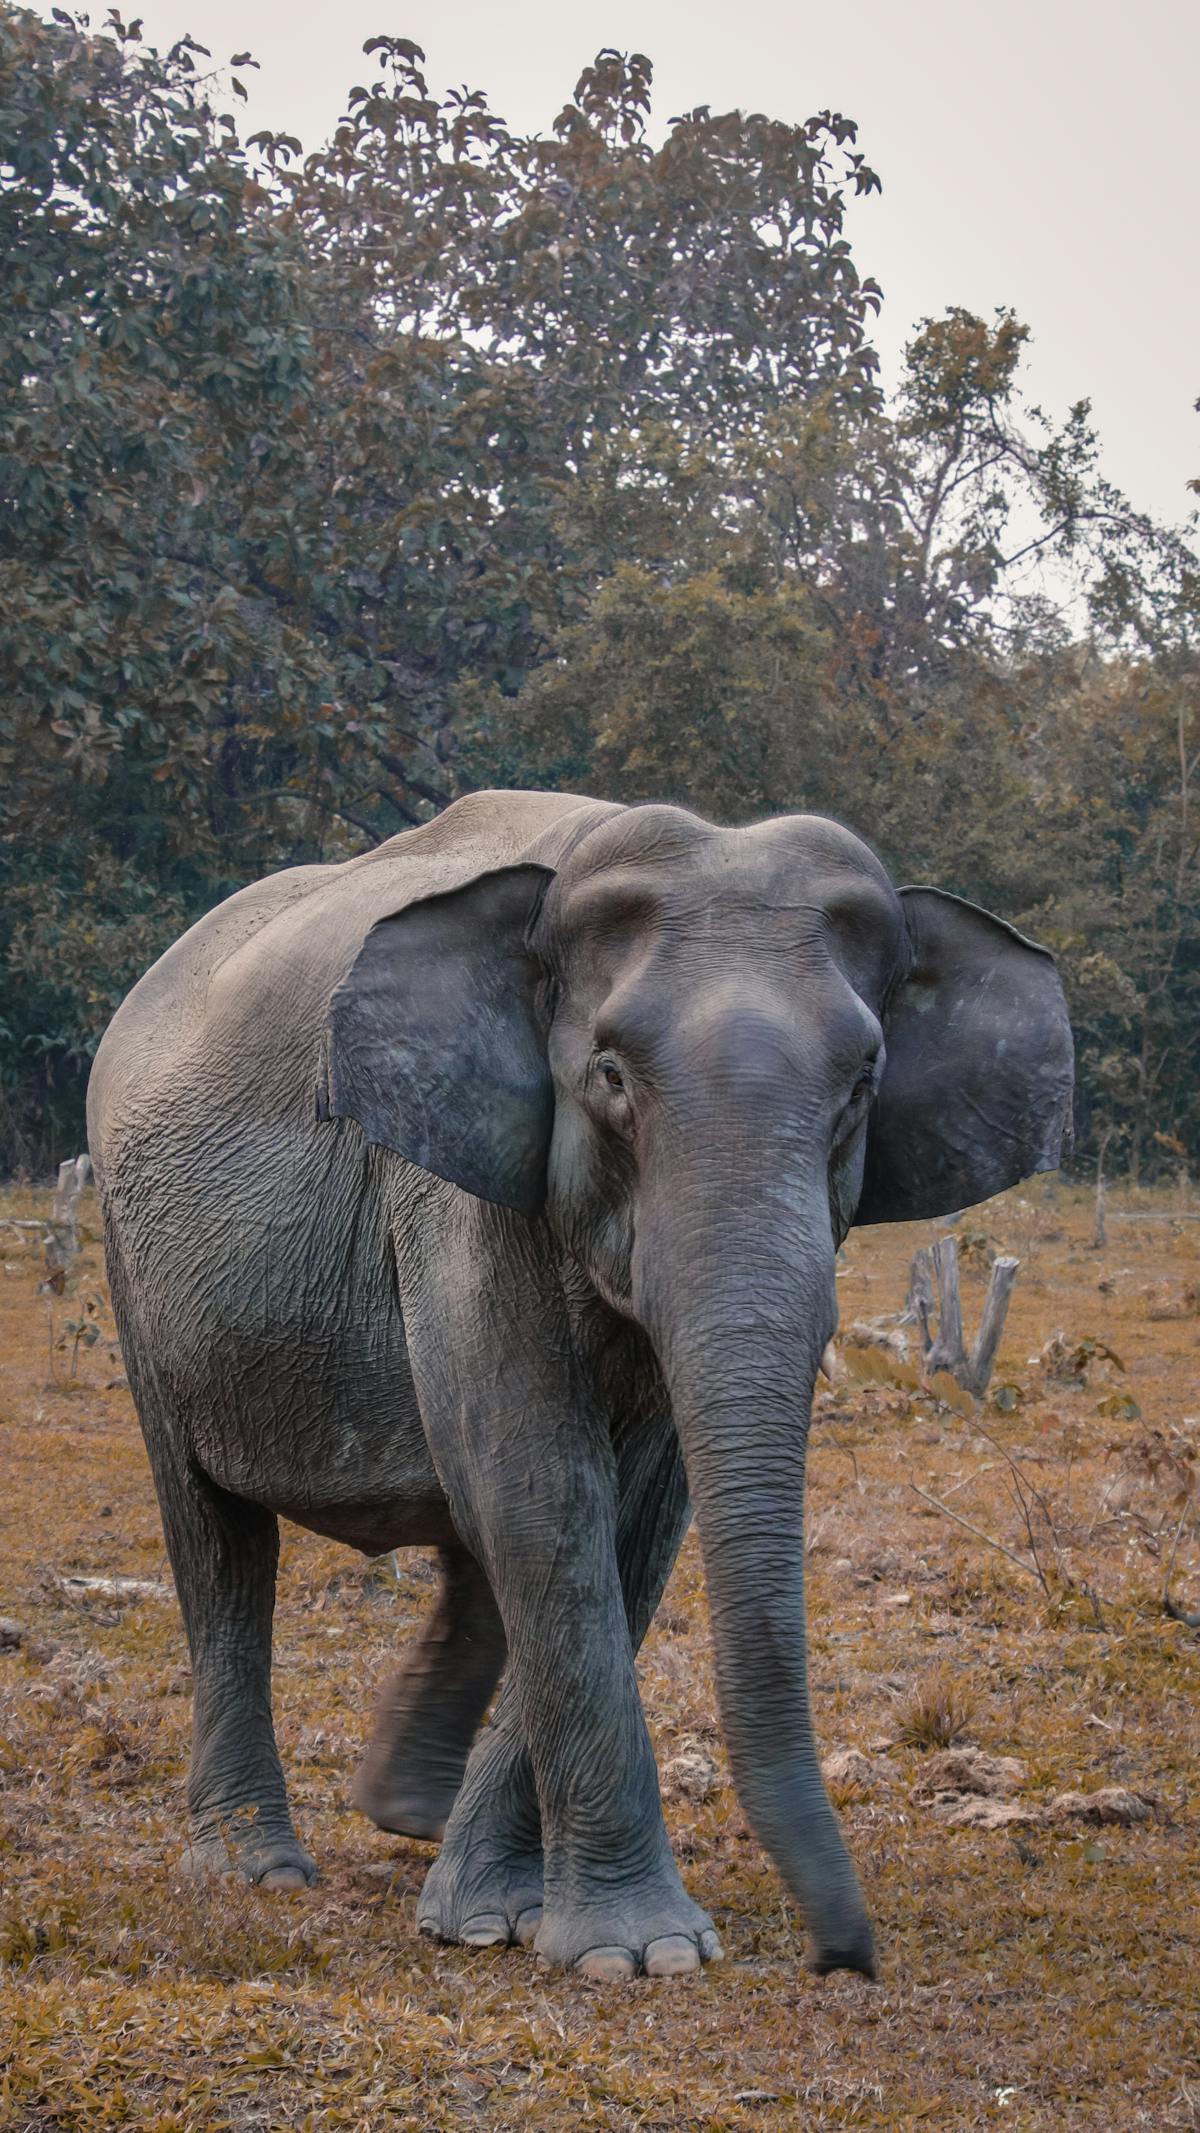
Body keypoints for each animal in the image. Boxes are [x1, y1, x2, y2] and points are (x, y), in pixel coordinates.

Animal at [86, 788, 1073, 1981]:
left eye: (862, 1086)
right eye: (610, 1077)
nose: (843, 1959)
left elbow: (635, 1516)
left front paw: (494, 1920)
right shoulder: (449, 1190)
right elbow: (543, 1484)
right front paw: (638, 1955)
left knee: (464, 1547)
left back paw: (408, 1813)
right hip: (132, 1266)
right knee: (217, 1535)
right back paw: (257, 1868)